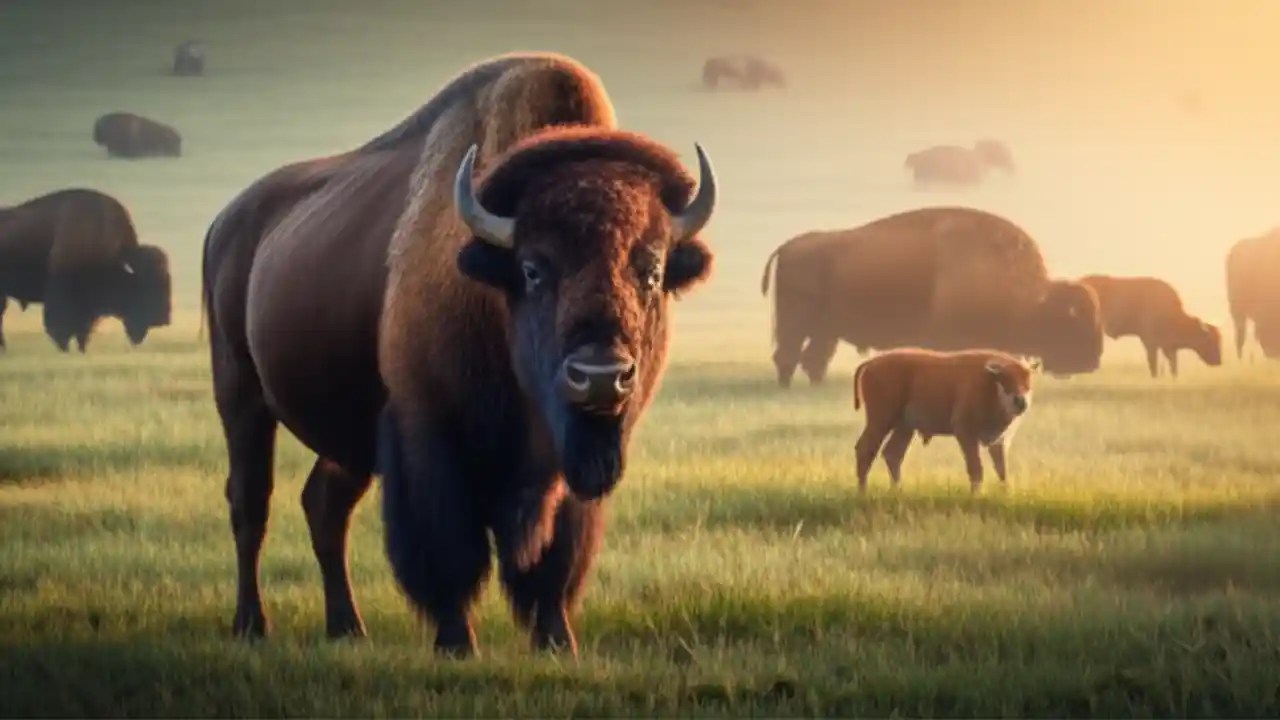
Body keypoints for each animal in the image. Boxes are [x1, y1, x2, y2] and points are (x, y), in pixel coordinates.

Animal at [0, 188, 171, 352]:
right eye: (147, 283)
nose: (164, 318)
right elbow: (62, 326)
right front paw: (64, 349)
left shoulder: (88, 307)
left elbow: (82, 330)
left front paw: (81, 349)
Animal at [201, 53, 716, 658]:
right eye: (532, 268)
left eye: (653, 269)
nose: (599, 377)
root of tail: (227, 222)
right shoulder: (427, 433)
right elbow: (449, 547)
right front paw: (456, 643)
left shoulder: (573, 461)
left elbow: (559, 557)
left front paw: (557, 640)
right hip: (241, 397)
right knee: (250, 505)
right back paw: (252, 624)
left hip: (347, 440)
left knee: (324, 506)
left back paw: (347, 627)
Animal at [760, 207, 1102, 387]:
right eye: (1074, 320)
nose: (1094, 360)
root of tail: (788, 246)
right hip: (797, 323)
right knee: (789, 355)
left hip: (826, 330)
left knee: (813, 359)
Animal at [853, 349, 1035, 494]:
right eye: (1005, 378)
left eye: (1028, 379)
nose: (1021, 401)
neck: (989, 381)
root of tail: (872, 362)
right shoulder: (965, 433)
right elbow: (976, 467)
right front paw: (976, 494)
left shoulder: (999, 441)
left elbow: (1002, 469)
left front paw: (1005, 493)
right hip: (880, 422)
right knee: (866, 449)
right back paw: (863, 491)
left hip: (904, 428)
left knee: (892, 454)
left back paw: (897, 491)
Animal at [1079, 274, 1221, 378]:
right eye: (1209, 340)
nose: (1218, 361)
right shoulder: (1151, 343)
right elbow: (1154, 364)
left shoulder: (1168, 346)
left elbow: (1173, 365)